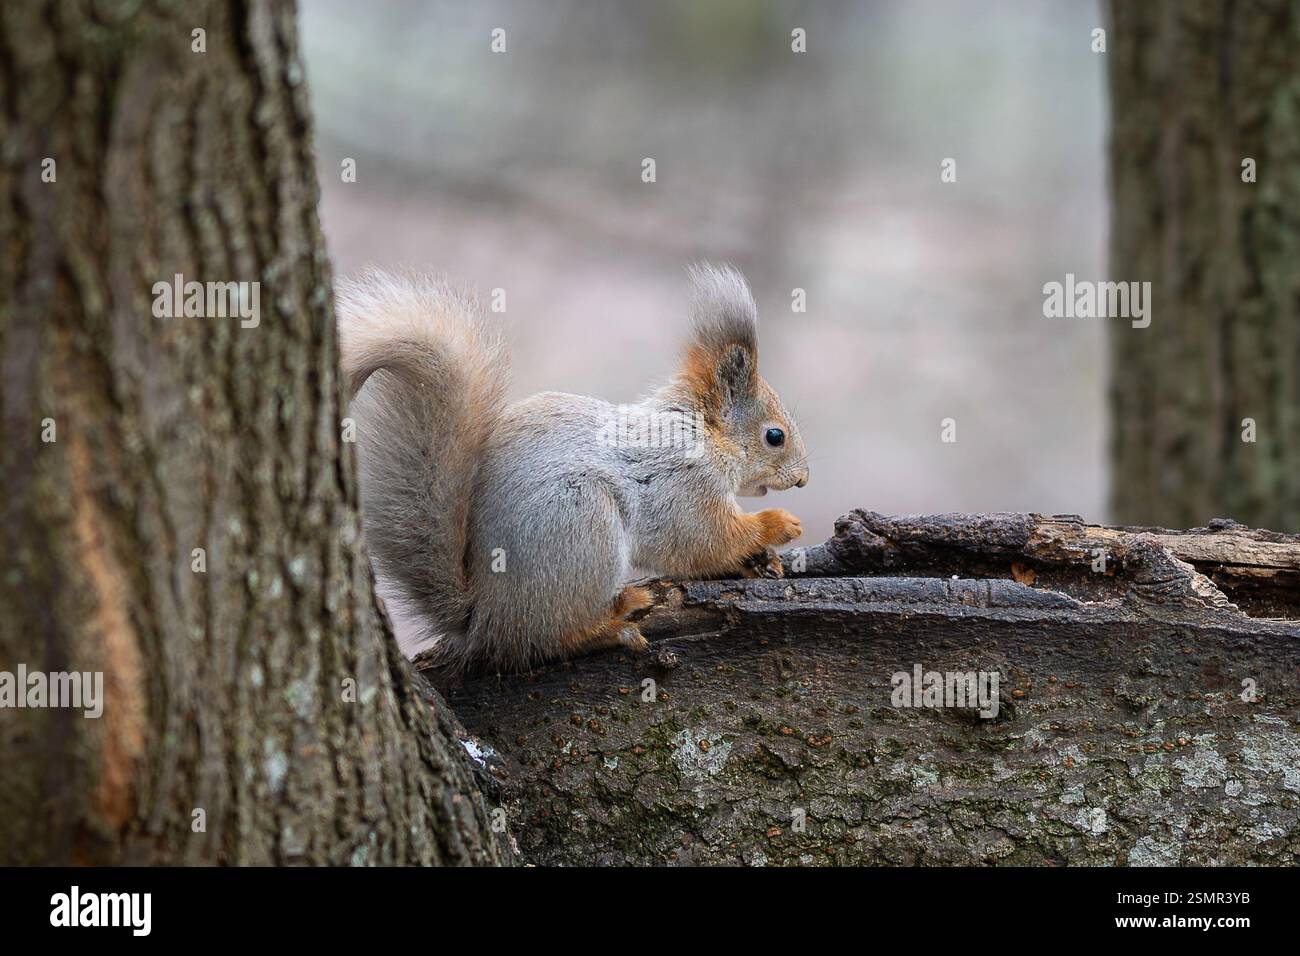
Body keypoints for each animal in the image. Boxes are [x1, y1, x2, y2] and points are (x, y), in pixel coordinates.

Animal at [337, 263, 809, 672]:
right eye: (775, 436)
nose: (804, 480)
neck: (700, 434)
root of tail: (485, 614)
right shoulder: (681, 486)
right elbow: (705, 542)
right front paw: (778, 524)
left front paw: (760, 560)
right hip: (583, 526)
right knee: (546, 639)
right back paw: (612, 624)